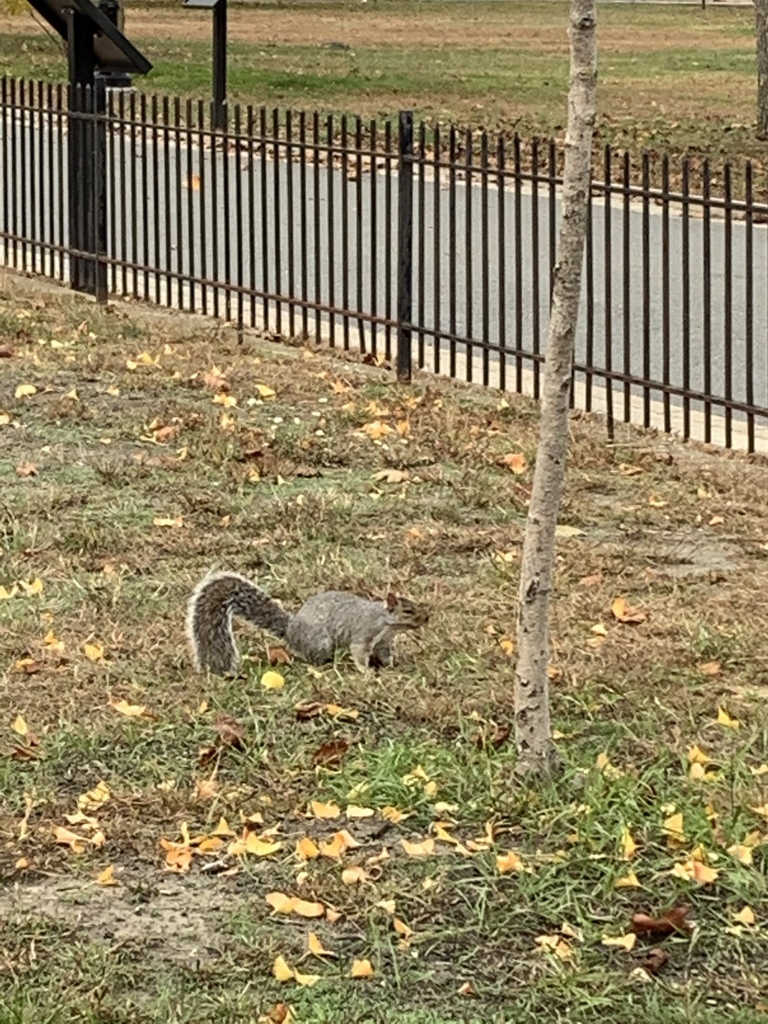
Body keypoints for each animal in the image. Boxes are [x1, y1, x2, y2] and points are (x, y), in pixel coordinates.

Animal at [186, 571, 429, 676]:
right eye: (408, 611)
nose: (426, 618)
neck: (386, 623)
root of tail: (291, 629)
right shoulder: (364, 633)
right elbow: (359, 652)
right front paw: (366, 670)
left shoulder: (383, 643)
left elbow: (386, 655)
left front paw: (392, 664)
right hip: (320, 642)